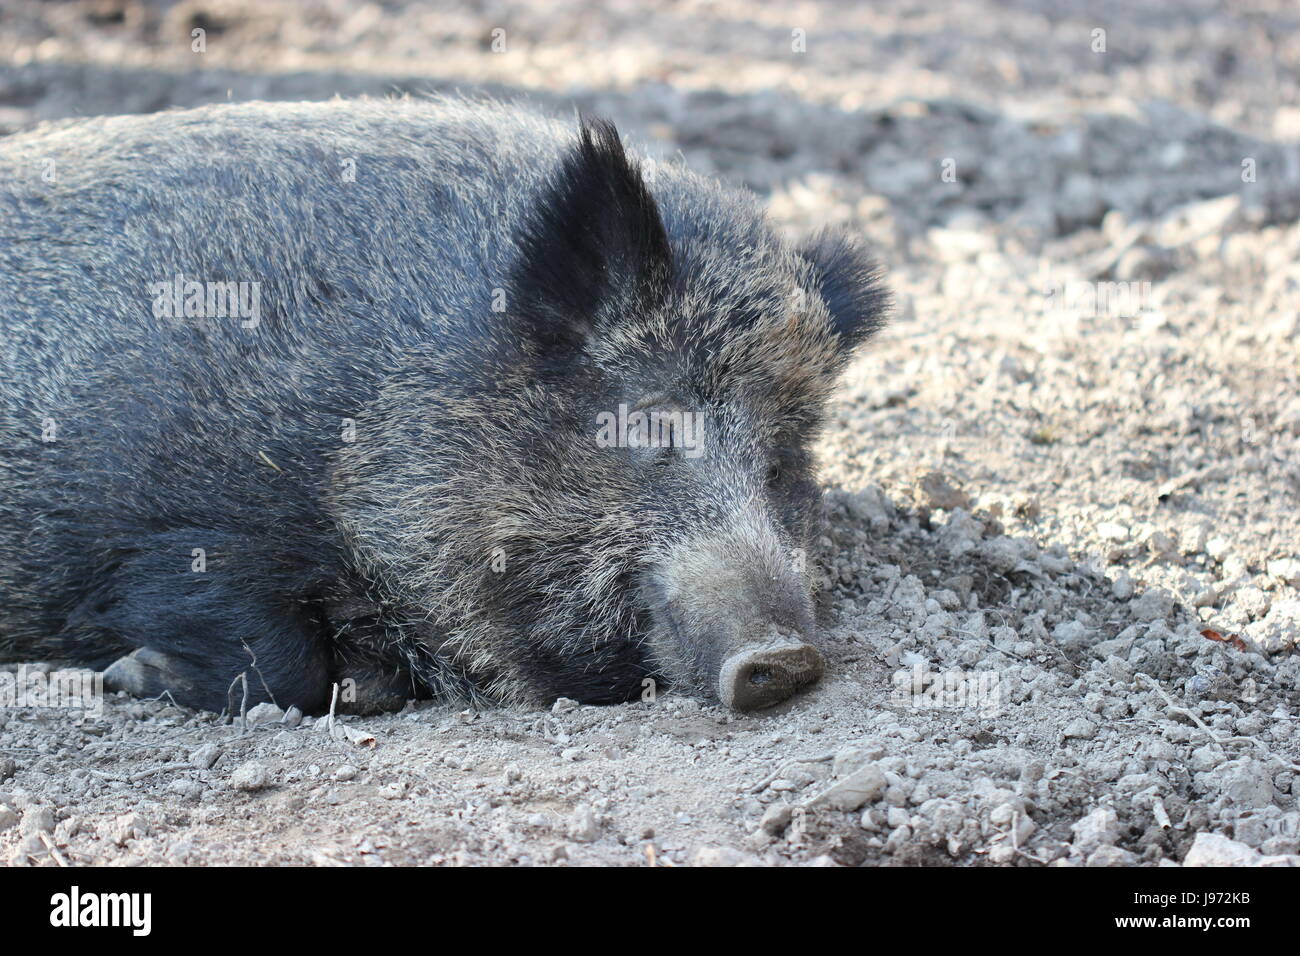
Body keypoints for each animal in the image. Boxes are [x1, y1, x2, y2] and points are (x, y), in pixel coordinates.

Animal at [0, 97, 888, 713]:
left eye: (781, 461)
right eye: (648, 418)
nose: (785, 660)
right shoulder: (184, 521)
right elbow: (269, 649)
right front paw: (126, 675)